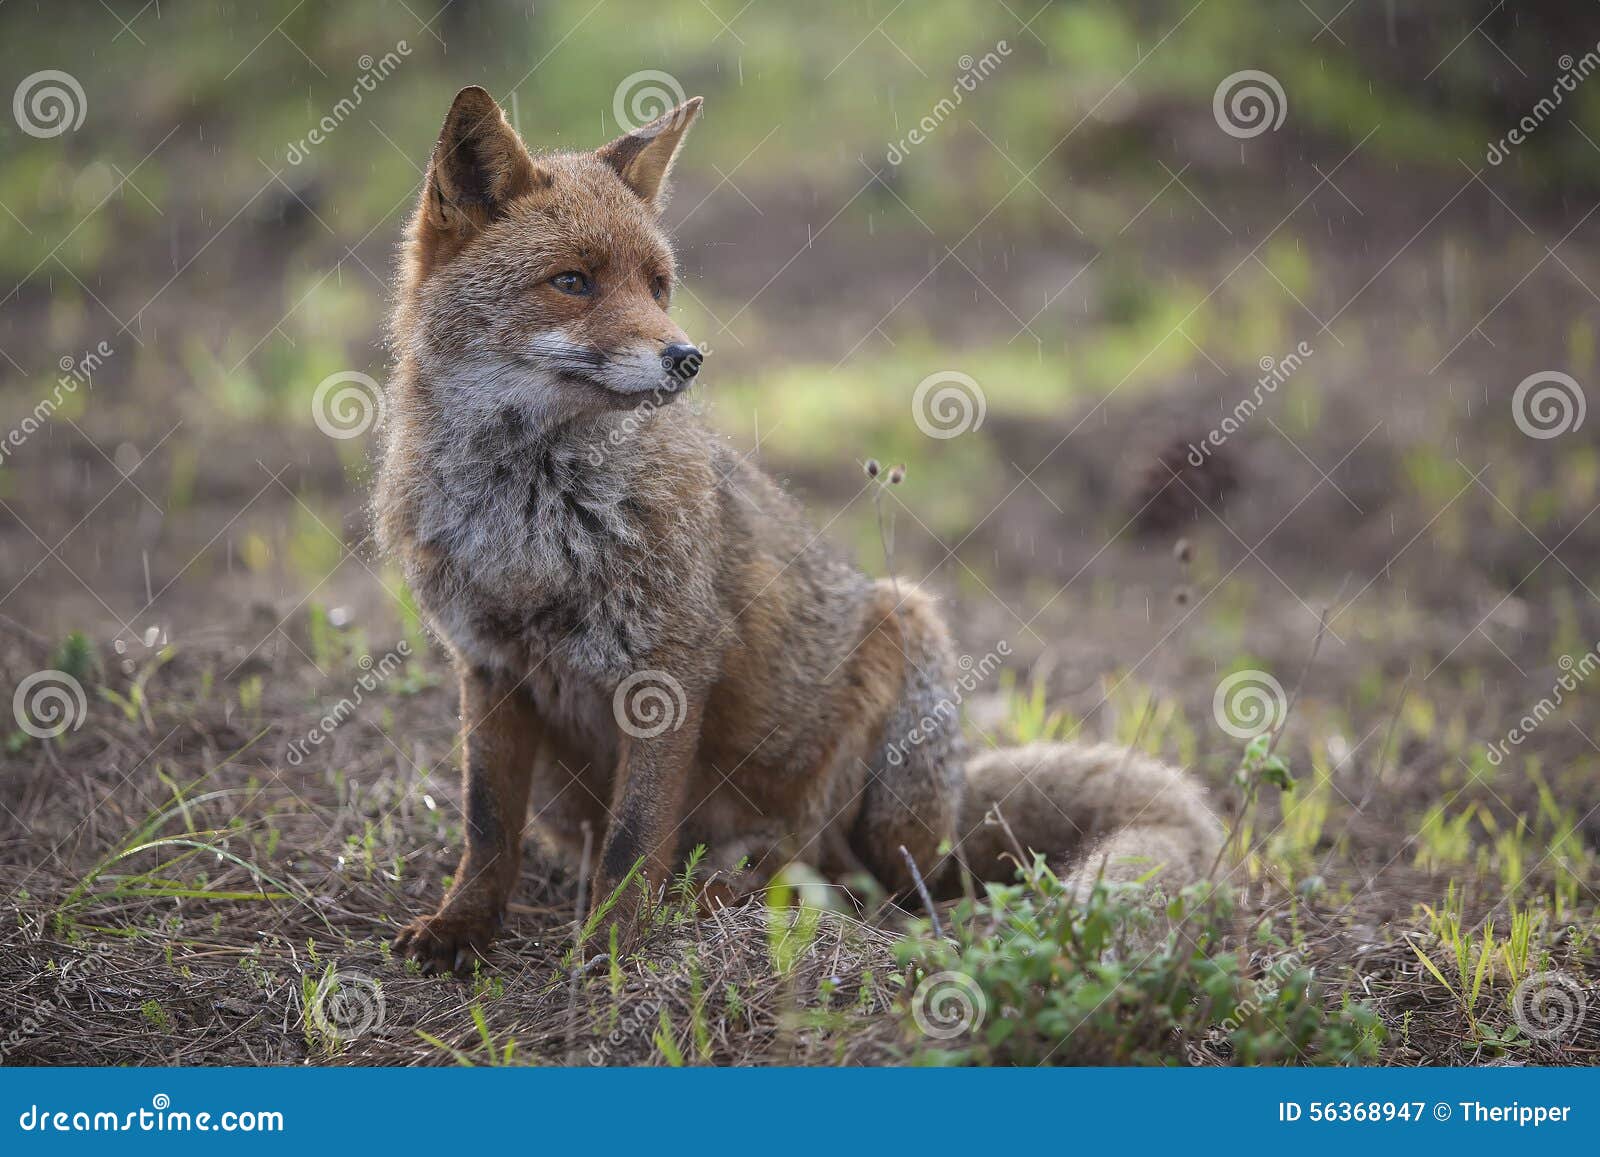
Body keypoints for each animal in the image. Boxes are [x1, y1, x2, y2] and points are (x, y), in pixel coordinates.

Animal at [375, 85, 1223, 973]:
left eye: (658, 286)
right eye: (572, 281)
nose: (687, 356)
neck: (531, 521)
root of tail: (953, 810)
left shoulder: (669, 665)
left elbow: (633, 841)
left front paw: (611, 945)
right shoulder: (488, 665)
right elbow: (486, 827)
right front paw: (462, 926)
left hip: (897, 652)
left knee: (841, 875)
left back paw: (734, 899)